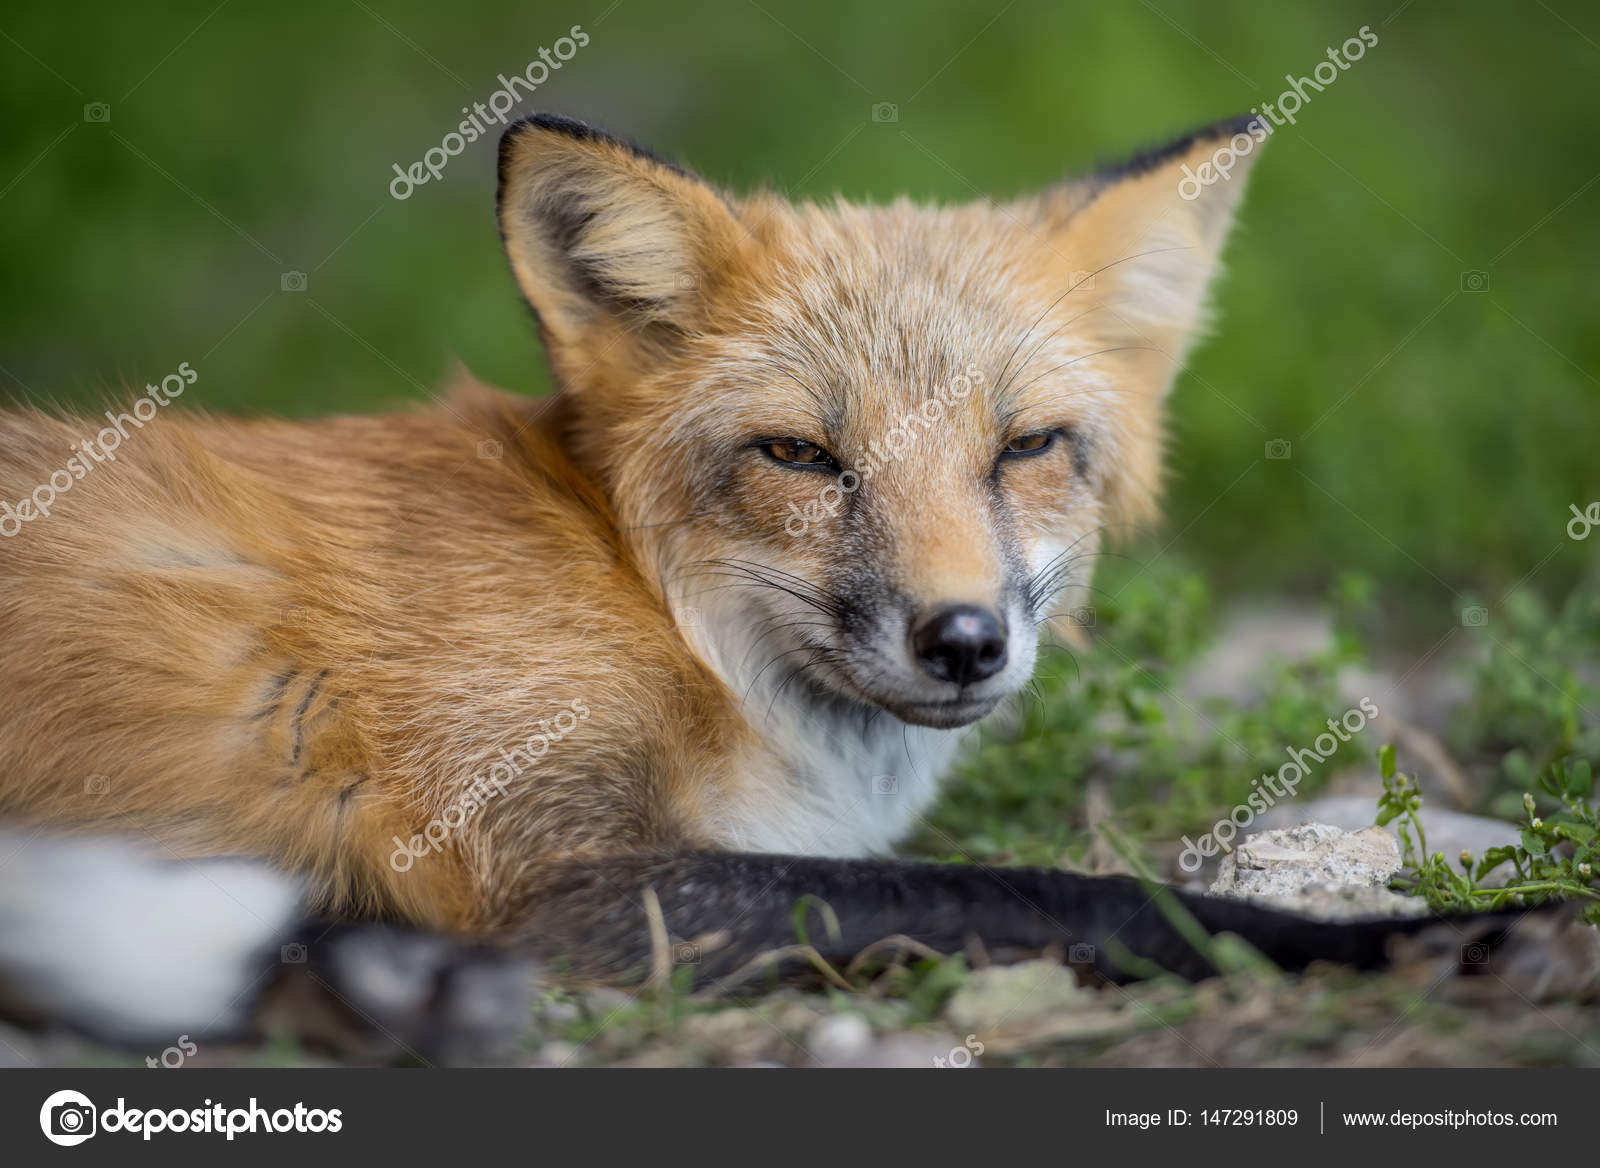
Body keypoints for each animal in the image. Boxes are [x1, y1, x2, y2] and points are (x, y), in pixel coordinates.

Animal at [0, 112, 1523, 1053]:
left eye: (1026, 447)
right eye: (800, 454)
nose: (962, 639)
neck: (663, 612)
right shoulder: (539, 877)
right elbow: (1047, 893)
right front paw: (1429, 942)